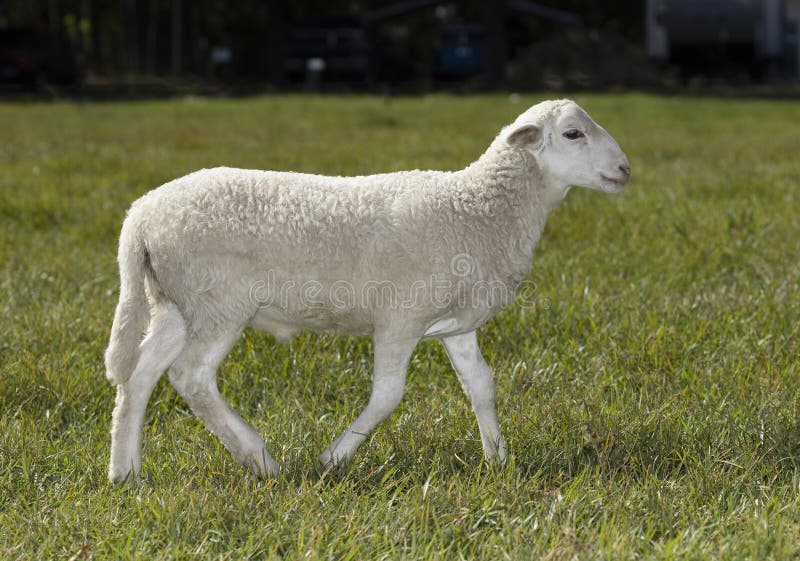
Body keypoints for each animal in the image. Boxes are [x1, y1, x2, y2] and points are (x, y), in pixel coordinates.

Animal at [105, 99, 631, 484]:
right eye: (573, 134)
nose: (626, 169)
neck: (478, 210)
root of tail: (140, 216)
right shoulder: (399, 318)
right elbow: (387, 396)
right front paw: (332, 460)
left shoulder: (457, 326)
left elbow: (481, 385)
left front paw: (498, 461)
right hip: (220, 302)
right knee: (191, 376)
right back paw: (260, 460)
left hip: (176, 303)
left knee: (140, 374)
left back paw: (125, 473)